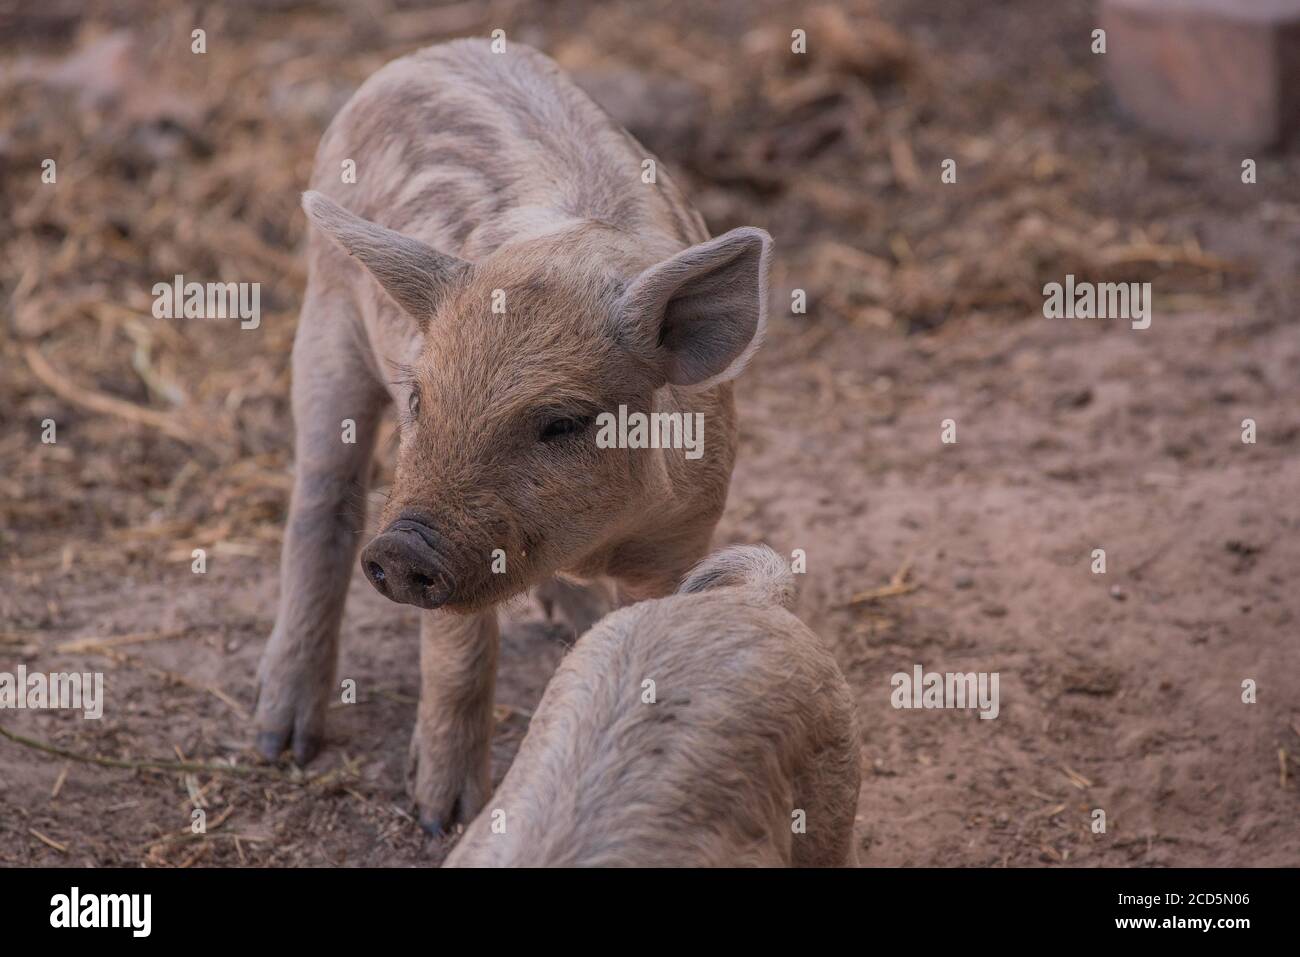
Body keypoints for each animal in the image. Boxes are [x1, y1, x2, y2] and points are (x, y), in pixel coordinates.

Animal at [253, 38, 773, 834]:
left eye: (562, 422)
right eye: (420, 397)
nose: (402, 548)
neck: (600, 540)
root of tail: (423, 54)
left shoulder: (689, 524)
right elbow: (459, 652)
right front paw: (442, 817)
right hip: (326, 318)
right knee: (321, 506)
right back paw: (277, 745)